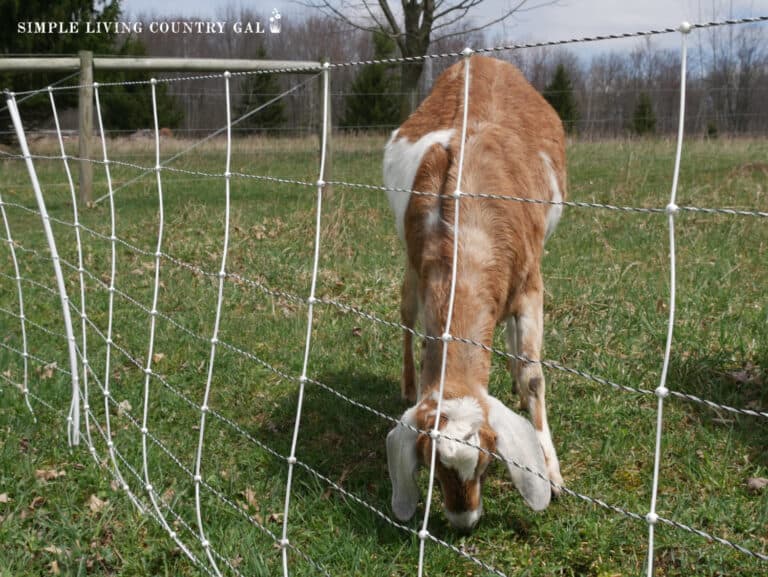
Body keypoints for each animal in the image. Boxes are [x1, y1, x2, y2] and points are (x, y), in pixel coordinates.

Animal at [382, 55, 566, 531]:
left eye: (486, 463)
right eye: (427, 466)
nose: (463, 521)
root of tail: (478, 59)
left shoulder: (531, 284)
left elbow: (533, 374)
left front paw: (552, 471)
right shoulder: (423, 272)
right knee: (405, 318)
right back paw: (408, 383)